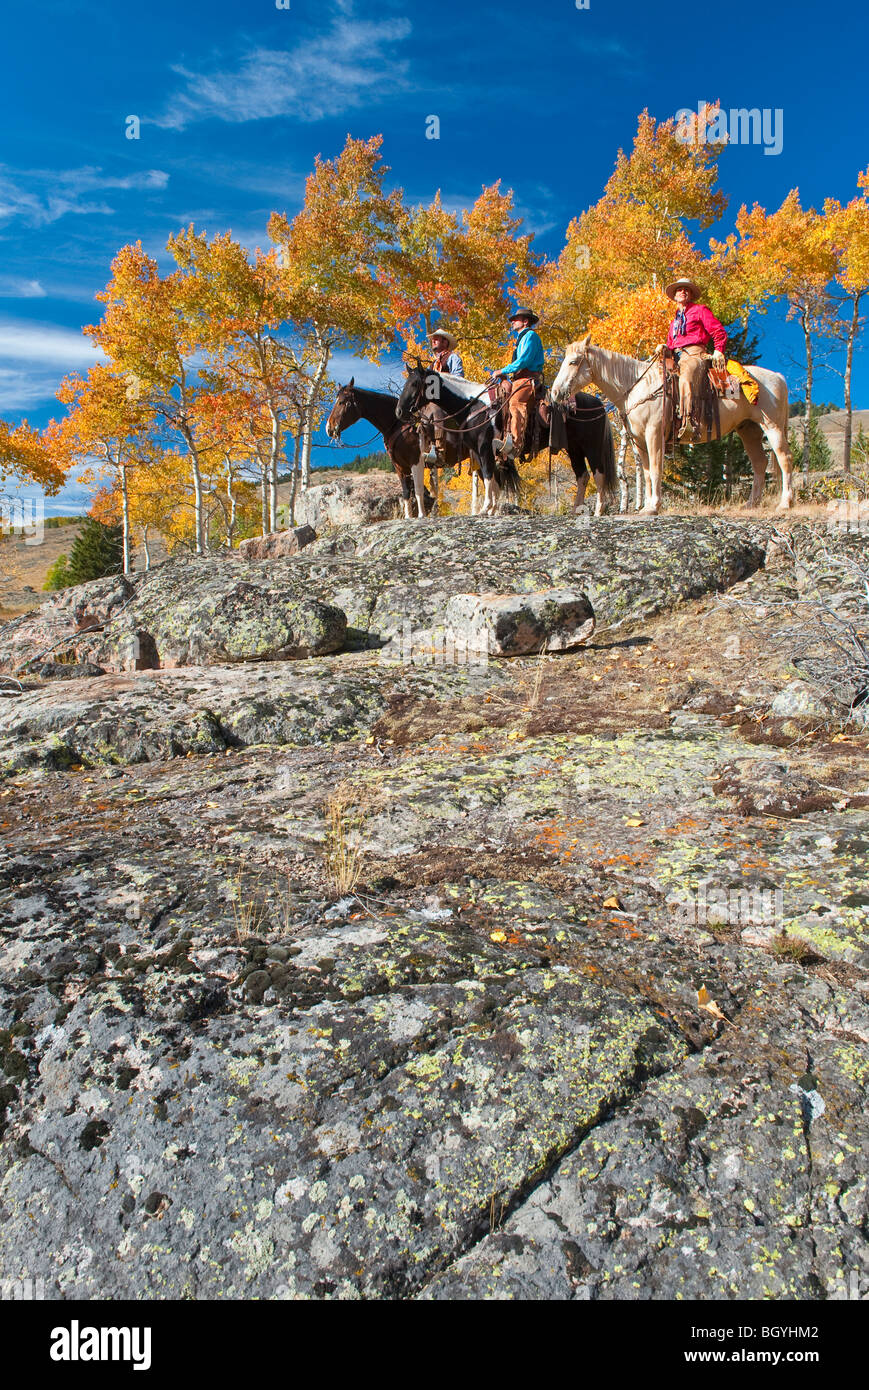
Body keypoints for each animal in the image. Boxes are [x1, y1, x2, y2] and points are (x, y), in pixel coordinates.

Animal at [325, 380, 431, 518]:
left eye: (342, 402)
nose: (329, 428)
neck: (400, 426)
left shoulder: (416, 462)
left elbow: (418, 489)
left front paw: (421, 515)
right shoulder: (400, 466)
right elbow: (406, 491)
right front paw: (408, 517)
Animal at [395, 365, 520, 517]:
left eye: (415, 383)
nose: (399, 411)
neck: (474, 405)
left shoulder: (484, 446)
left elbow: (488, 473)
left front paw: (485, 507)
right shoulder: (477, 450)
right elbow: (488, 475)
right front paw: (490, 508)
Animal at [550, 335, 794, 515]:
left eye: (573, 362)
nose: (555, 392)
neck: (637, 386)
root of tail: (778, 376)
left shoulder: (654, 434)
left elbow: (656, 468)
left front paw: (654, 506)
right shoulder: (639, 441)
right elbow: (648, 472)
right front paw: (647, 506)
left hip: (772, 426)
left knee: (784, 458)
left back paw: (785, 503)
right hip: (748, 429)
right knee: (760, 463)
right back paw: (752, 503)